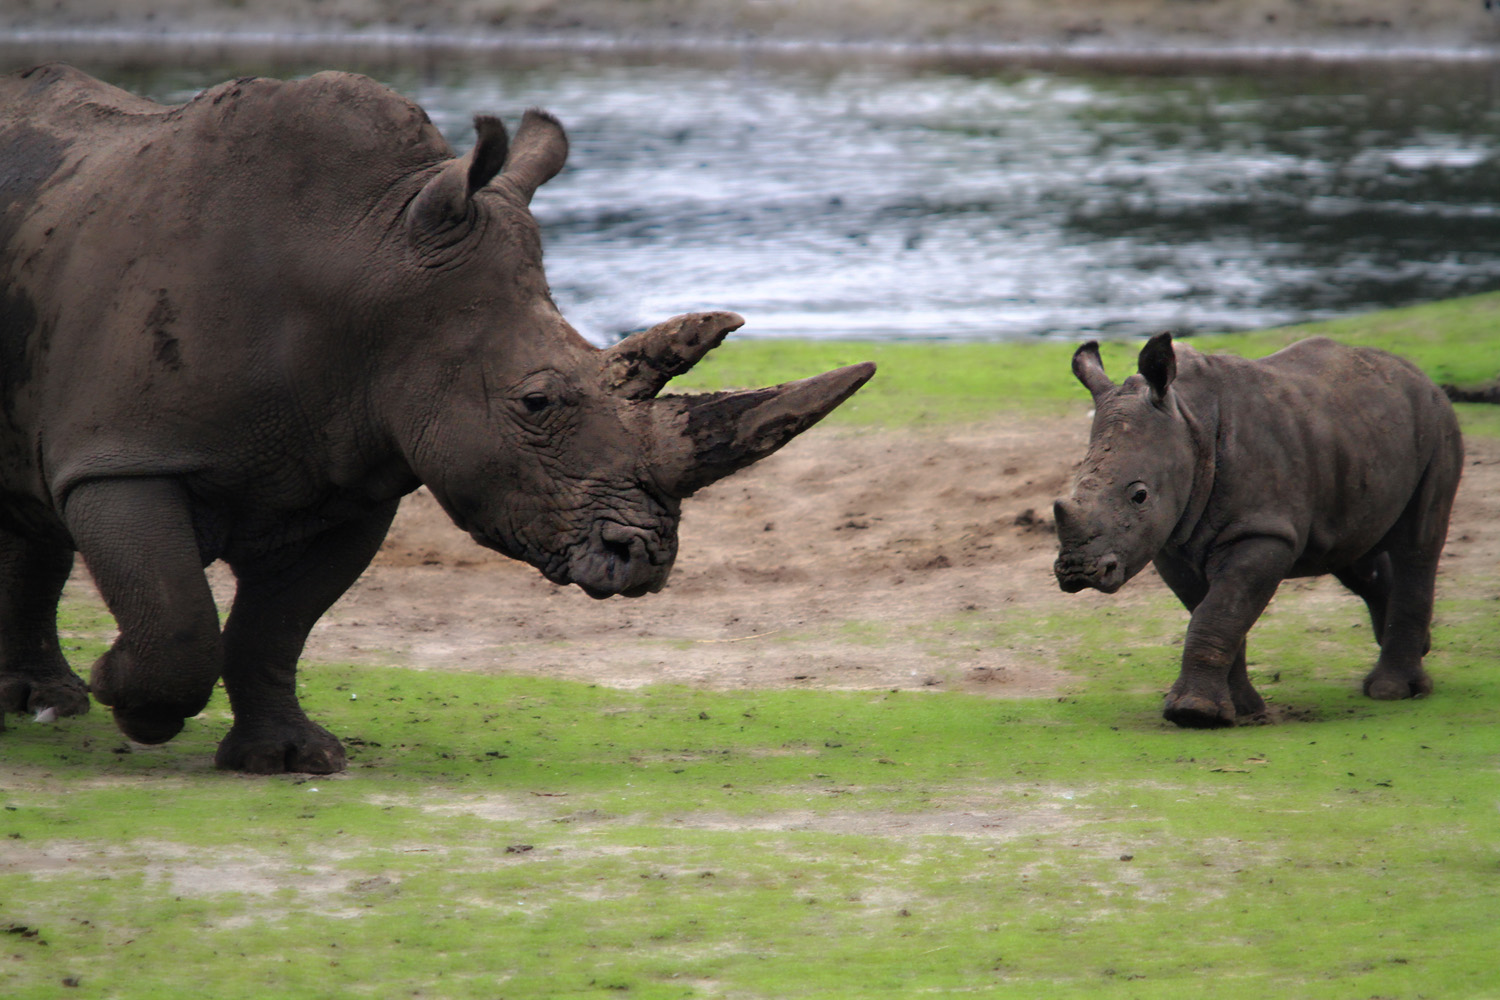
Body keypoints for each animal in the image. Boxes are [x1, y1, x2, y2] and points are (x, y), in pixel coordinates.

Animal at [0, 64, 873, 772]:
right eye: (536, 403)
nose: (646, 558)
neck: (361, 256)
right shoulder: (121, 455)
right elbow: (177, 614)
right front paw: (129, 697)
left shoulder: (349, 475)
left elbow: (278, 625)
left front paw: (288, 759)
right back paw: (59, 704)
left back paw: (42, 703)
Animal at [1052, 333, 1462, 728]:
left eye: (1140, 495)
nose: (1078, 571)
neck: (1189, 421)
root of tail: (1415, 372)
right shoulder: (1170, 542)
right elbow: (1213, 611)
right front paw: (1241, 711)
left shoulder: (1264, 531)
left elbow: (1219, 611)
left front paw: (1192, 714)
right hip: (1356, 438)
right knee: (1352, 555)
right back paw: (1417, 651)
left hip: (1436, 421)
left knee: (1418, 545)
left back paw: (1392, 691)